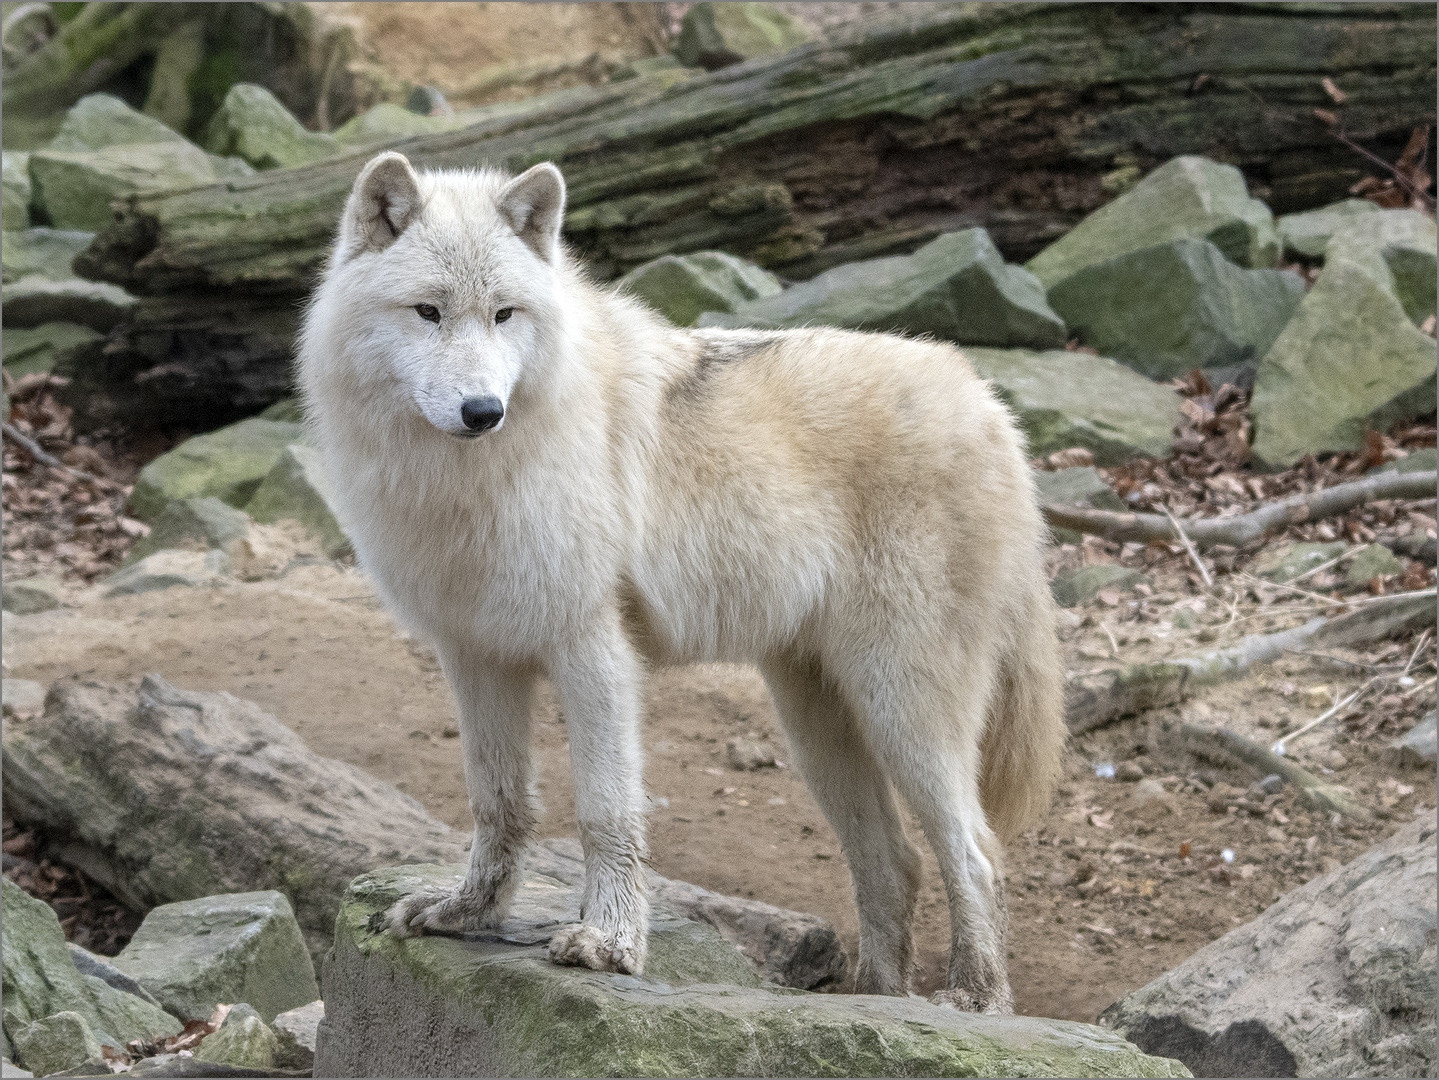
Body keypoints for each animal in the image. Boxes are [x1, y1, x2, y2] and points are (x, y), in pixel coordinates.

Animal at [297, 151, 1065, 1013]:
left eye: (503, 315)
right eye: (427, 312)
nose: (482, 409)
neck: (465, 483)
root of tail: (989, 403)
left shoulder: (591, 649)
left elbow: (604, 813)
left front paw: (610, 943)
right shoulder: (476, 657)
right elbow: (498, 803)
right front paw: (469, 913)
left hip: (900, 702)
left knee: (974, 851)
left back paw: (972, 1001)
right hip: (816, 721)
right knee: (892, 861)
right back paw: (873, 1000)